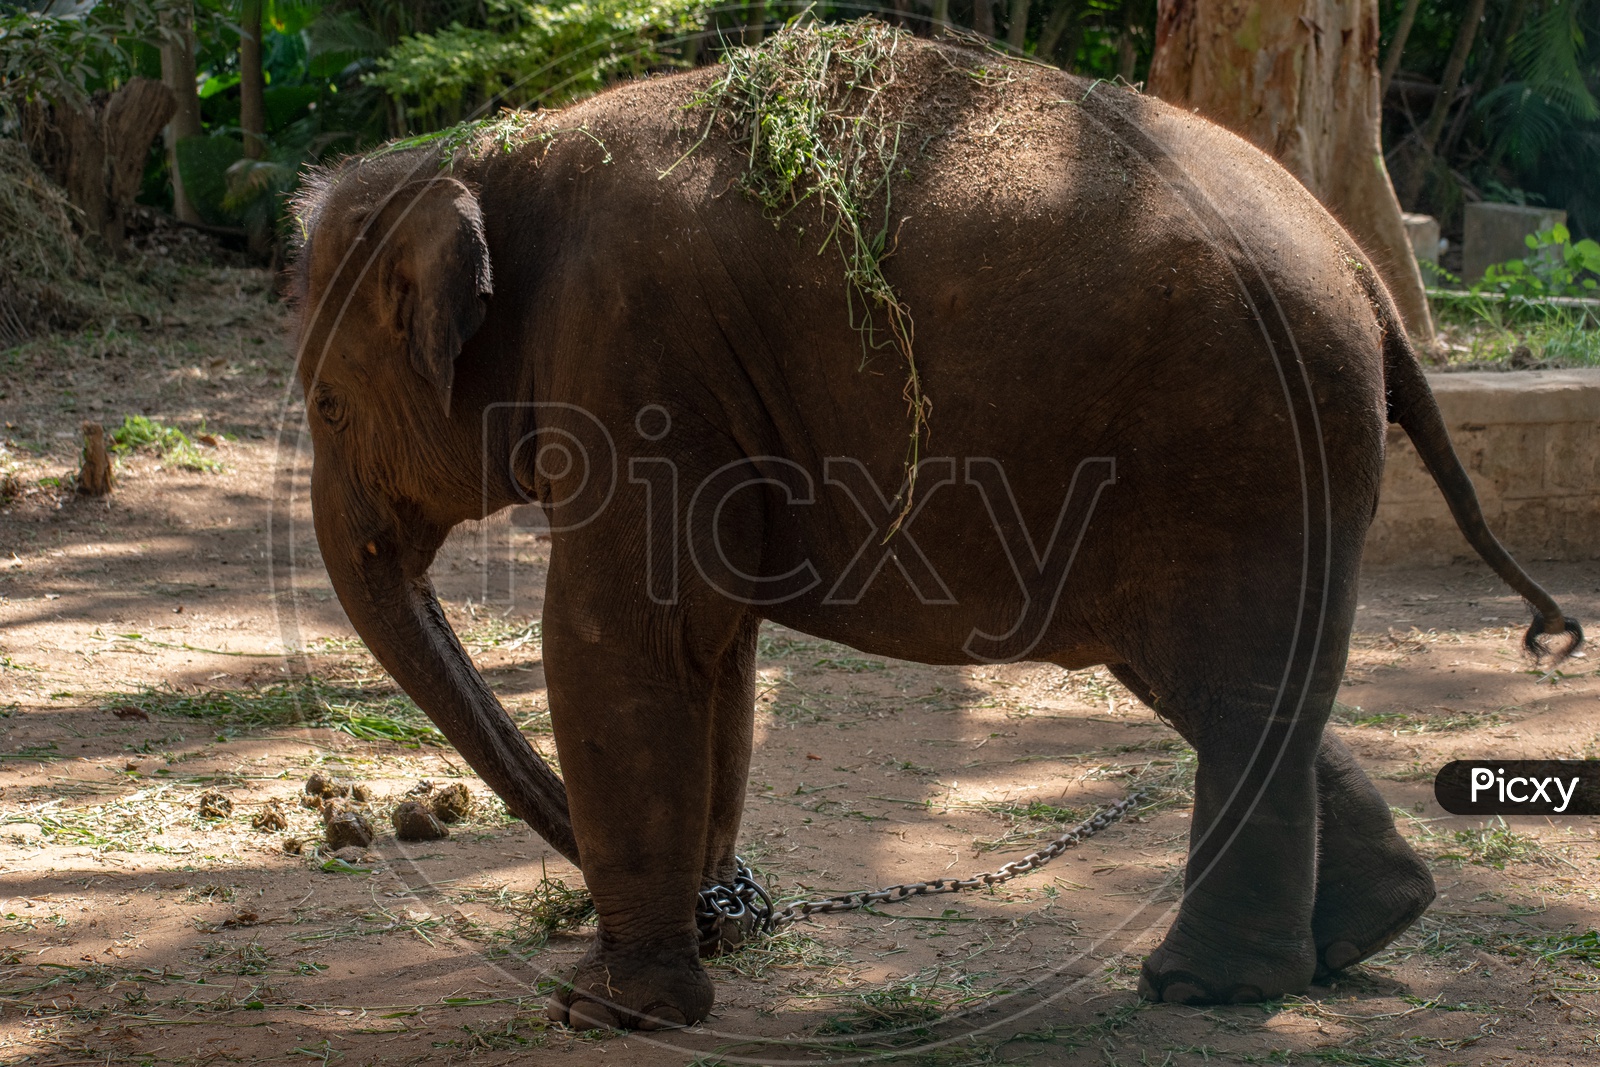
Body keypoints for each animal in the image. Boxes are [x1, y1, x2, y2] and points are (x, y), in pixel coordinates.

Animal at [290, 25, 1582, 1031]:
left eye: (326, 404)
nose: (739, 906)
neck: (506, 150)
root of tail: (1368, 277)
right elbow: (710, 651)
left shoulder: (630, 356)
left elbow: (624, 635)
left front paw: (606, 1011)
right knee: (1233, 688)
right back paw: (1362, 930)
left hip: (1238, 444)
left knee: (1229, 686)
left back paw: (1201, 985)